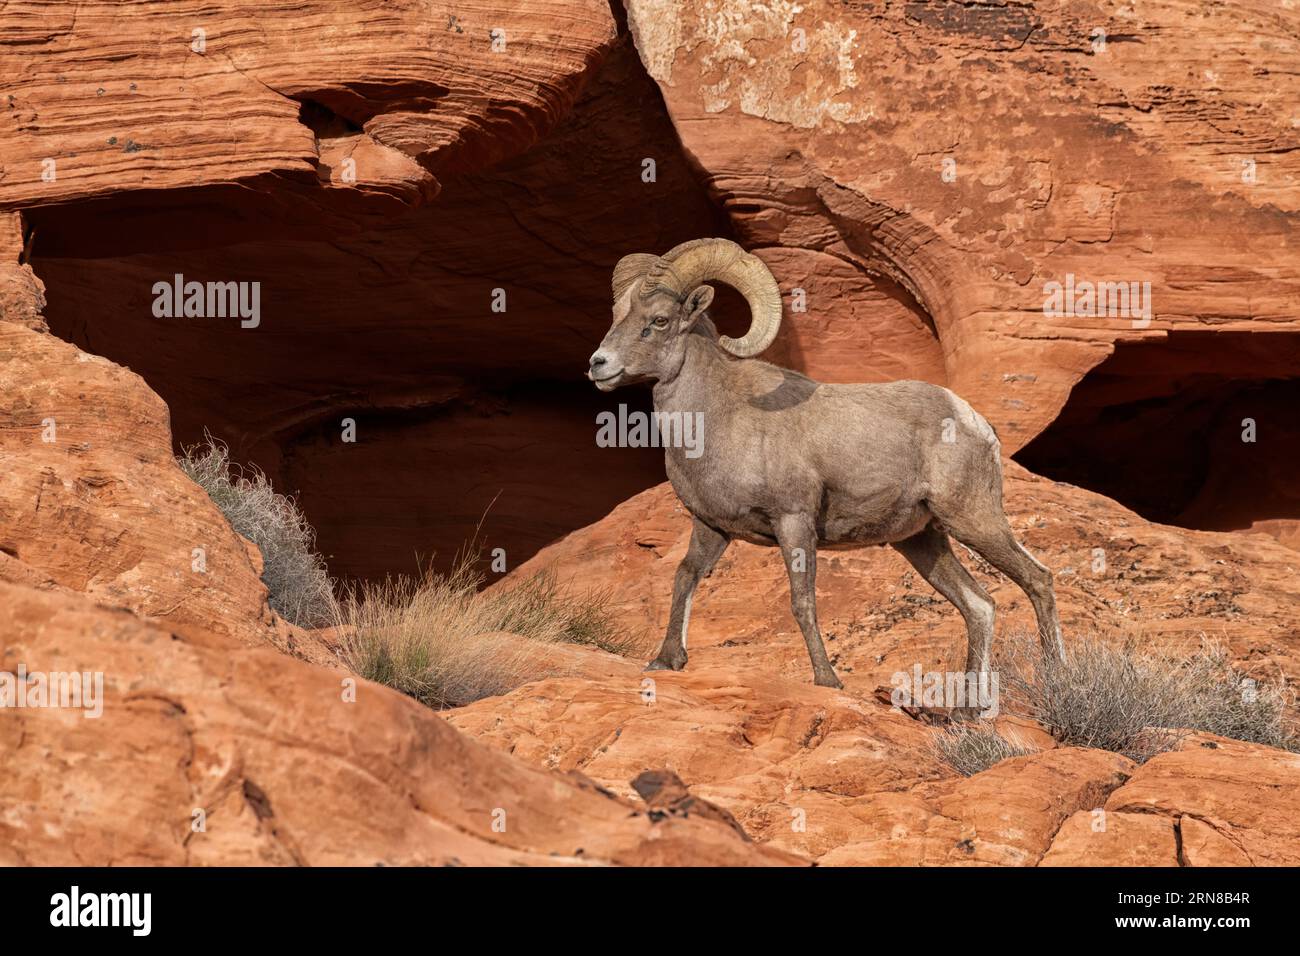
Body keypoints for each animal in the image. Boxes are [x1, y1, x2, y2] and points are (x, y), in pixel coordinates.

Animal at [587, 238, 1065, 690]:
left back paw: (1055, 679)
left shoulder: (793, 521)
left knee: (1038, 580)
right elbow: (684, 578)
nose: (598, 365)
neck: (717, 417)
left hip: (974, 520)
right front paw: (666, 661)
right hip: (922, 541)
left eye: (659, 320)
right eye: (617, 314)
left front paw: (826, 679)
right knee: (980, 605)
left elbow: (802, 601)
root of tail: (973, 419)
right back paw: (968, 708)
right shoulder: (712, 526)